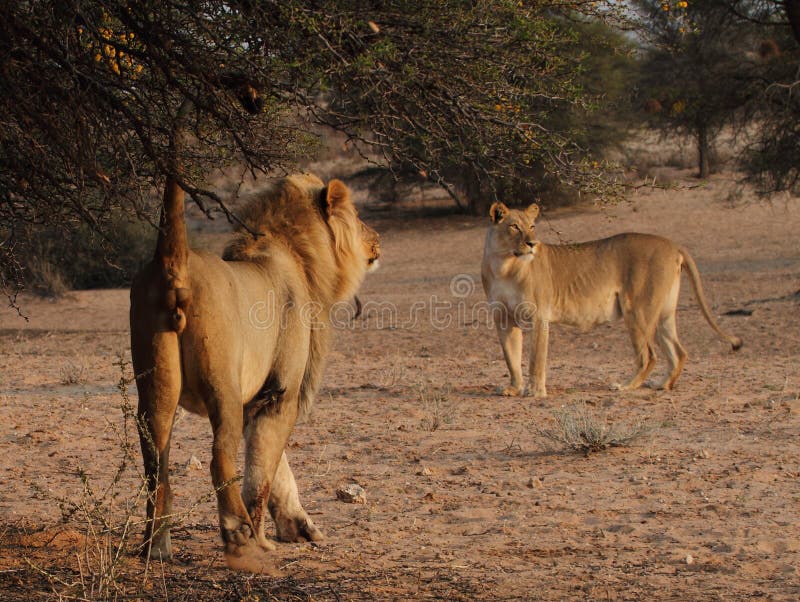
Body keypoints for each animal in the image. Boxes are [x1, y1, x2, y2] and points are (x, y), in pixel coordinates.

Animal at [130, 173, 379, 566]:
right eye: (356, 216)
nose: (377, 240)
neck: (295, 251)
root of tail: (174, 264)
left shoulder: (258, 399)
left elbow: (277, 469)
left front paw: (299, 526)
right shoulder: (280, 393)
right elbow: (261, 473)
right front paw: (264, 540)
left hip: (155, 391)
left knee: (157, 468)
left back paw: (155, 547)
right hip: (224, 389)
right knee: (219, 459)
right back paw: (239, 533)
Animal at [481, 202, 741, 398]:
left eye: (533, 226)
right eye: (514, 226)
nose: (532, 244)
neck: (504, 265)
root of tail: (673, 244)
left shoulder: (539, 317)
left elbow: (536, 359)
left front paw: (535, 392)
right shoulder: (503, 319)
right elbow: (511, 357)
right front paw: (514, 388)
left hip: (637, 311)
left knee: (649, 355)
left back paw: (626, 386)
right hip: (662, 314)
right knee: (679, 351)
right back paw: (663, 385)